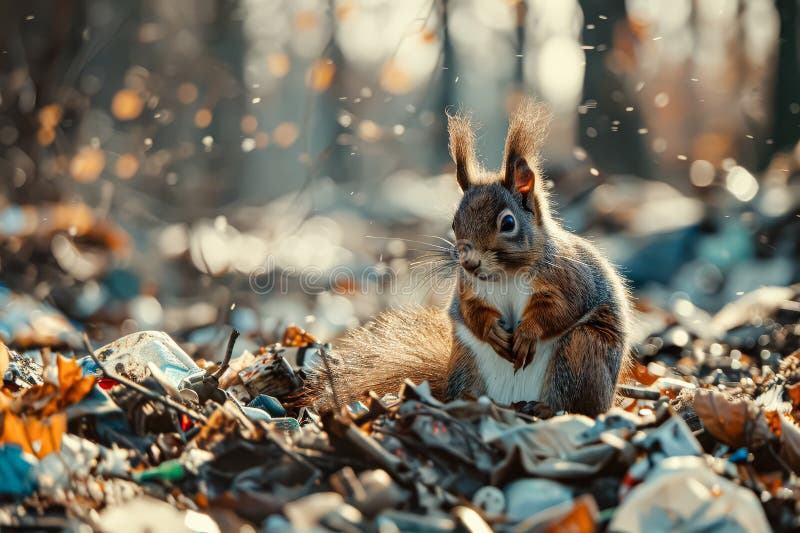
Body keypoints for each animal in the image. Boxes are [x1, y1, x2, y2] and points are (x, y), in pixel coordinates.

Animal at [312, 99, 632, 417]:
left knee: (576, 401)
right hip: (466, 364)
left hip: (582, 352)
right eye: (455, 223)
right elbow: (472, 312)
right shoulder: (467, 288)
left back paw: (544, 409)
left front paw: (528, 333)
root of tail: (512, 401)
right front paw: (492, 332)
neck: (506, 274)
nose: (469, 262)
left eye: (508, 223)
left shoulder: (568, 277)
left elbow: (560, 308)